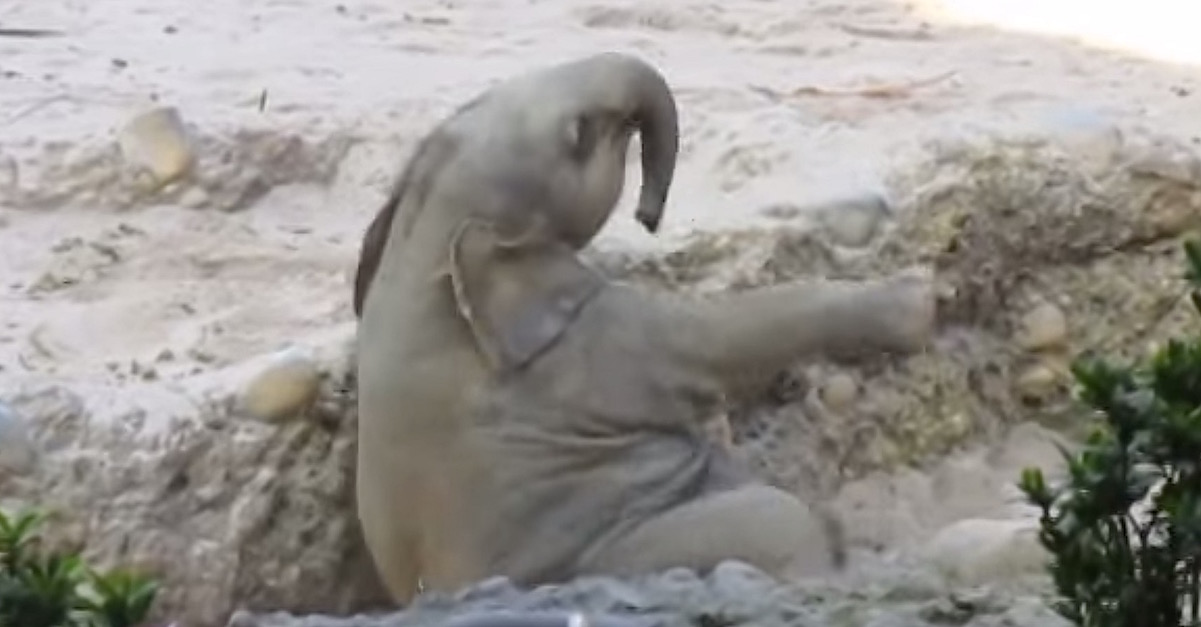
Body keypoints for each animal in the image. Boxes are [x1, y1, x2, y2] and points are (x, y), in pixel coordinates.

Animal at [352, 51, 939, 606]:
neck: (420, 240)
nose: (648, 217)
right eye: (580, 134)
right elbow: (722, 337)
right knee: (779, 515)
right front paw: (922, 298)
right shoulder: (596, 350)